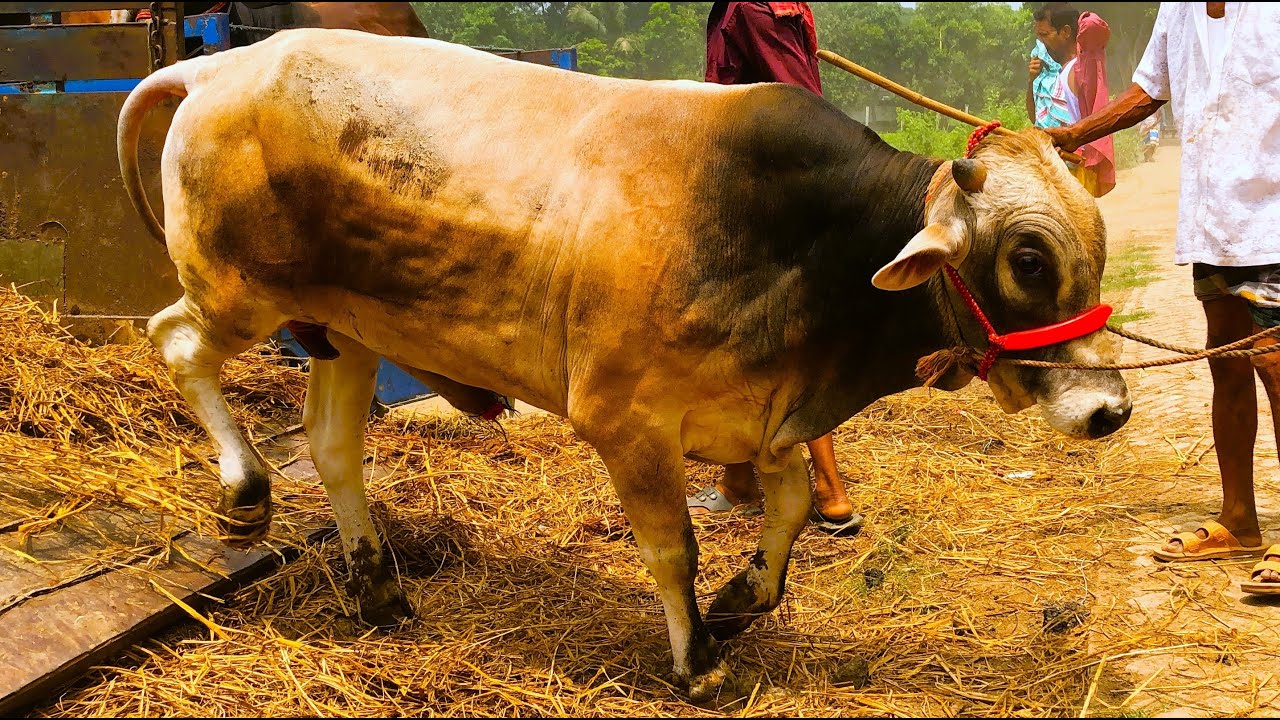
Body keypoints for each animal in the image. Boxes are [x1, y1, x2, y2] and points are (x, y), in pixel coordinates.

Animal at [116, 29, 1131, 700]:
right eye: (1028, 259)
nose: (1110, 410)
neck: (803, 240)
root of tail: (221, 63)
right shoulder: (628, 421)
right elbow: (671, 546)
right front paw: (697, 660)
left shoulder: (763, 417)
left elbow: (790, 514)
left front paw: (740, 600)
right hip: (237, 293)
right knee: (175, 340)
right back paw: (245, 492)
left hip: (348, 332)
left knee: (333, 452)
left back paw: (378, 588)